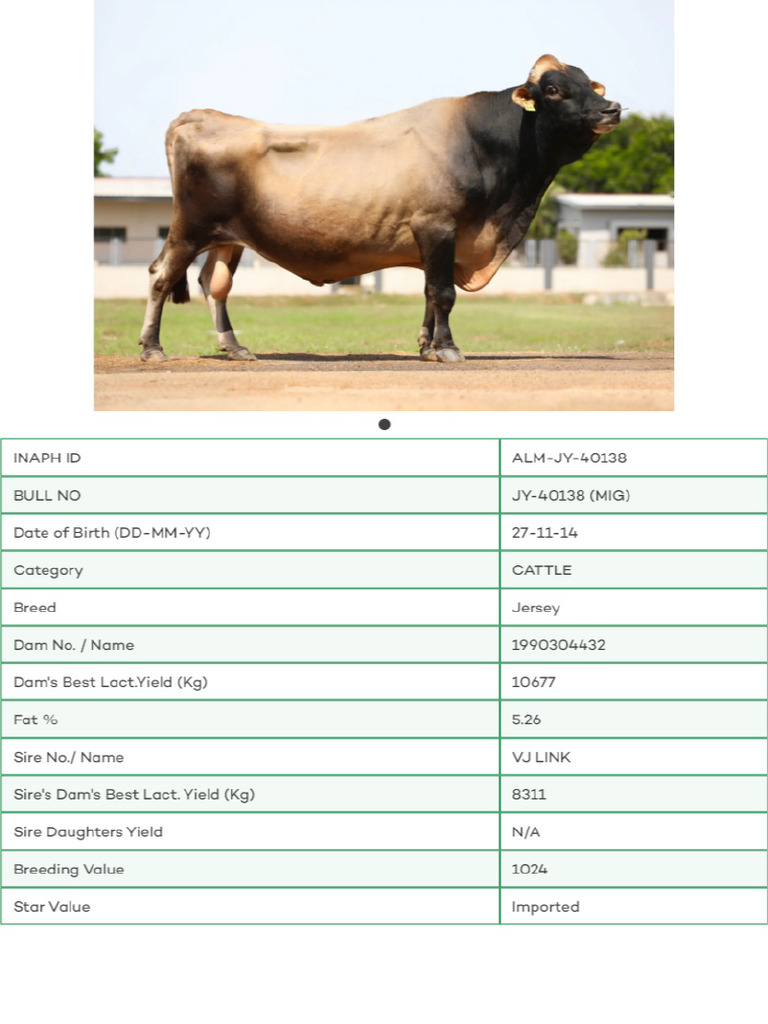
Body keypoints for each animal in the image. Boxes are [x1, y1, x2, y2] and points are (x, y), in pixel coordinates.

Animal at [138, 55, 621, 364]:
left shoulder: (438, 238)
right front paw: (447, 349)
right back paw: (153, 348)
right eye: (555, 89)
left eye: (591, 83)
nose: (612, 107)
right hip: (190, 228)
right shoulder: (438, 225)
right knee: (161, 275)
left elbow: (429, 293)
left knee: (214, 284)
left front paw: (427, 346)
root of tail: (200, 115)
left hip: (228, 237)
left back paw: (235, 348)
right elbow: (443, 293)